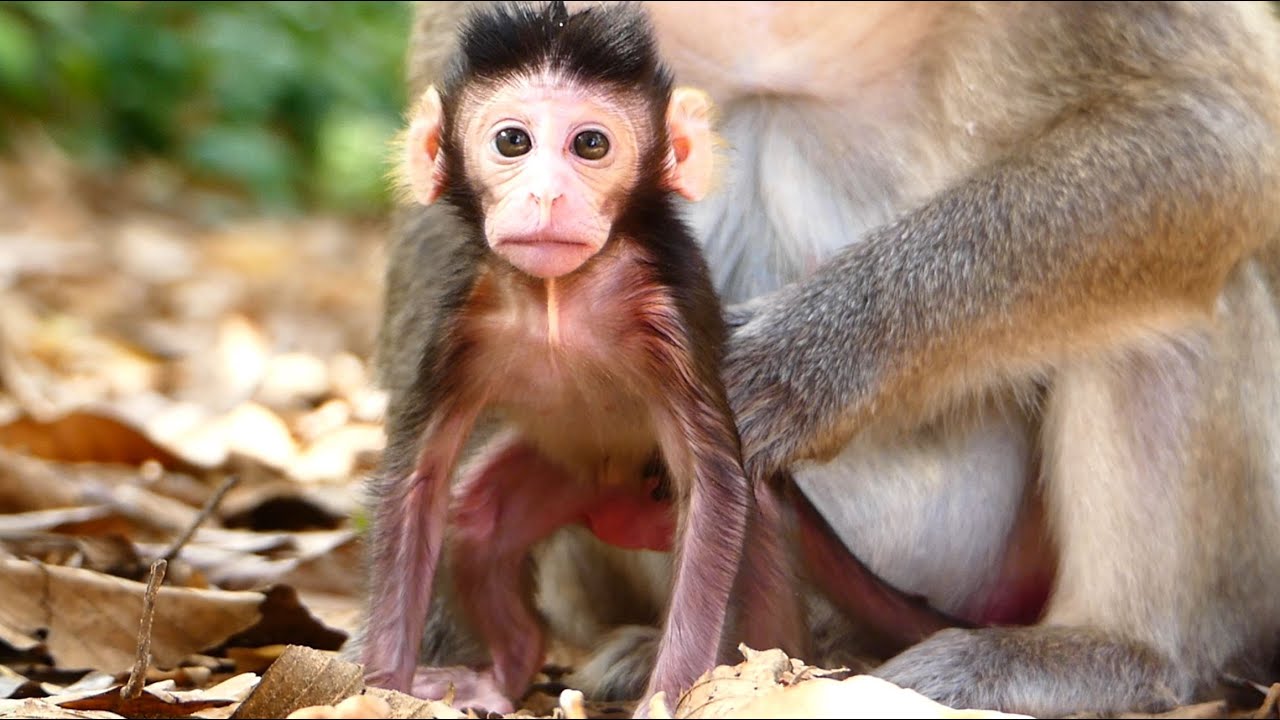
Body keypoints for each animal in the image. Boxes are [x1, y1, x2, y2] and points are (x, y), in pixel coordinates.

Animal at [378, 1, 1280, 717]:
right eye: (515, 140)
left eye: (592, 145)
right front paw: (437, 641)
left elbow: (1215, 132)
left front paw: (798, 366)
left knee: (1178, 301)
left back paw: (1105, 648)